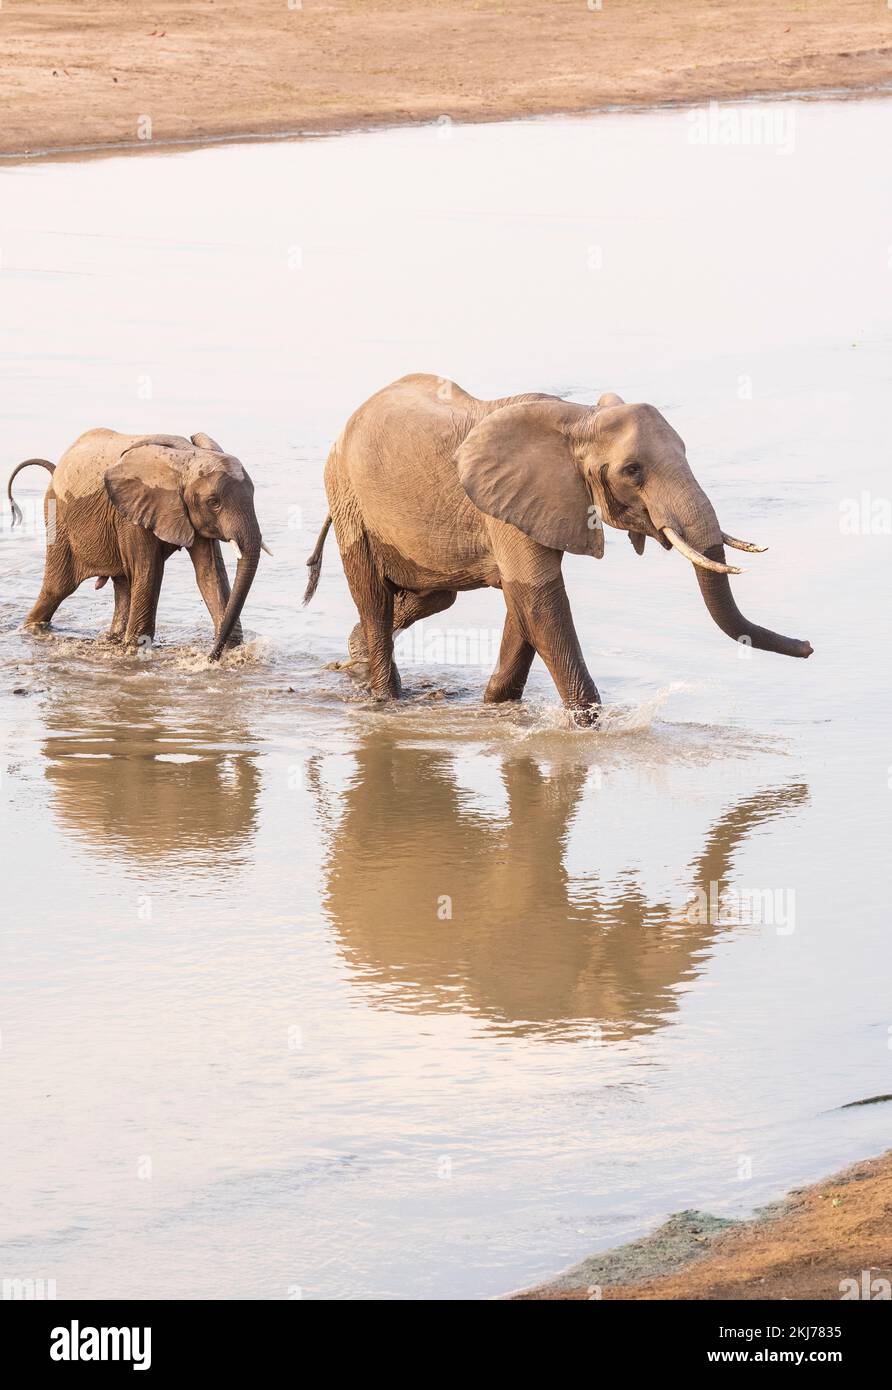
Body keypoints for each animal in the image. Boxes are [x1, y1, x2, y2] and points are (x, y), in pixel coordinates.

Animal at [7, 429, 269, 660]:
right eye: (214, 502)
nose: (210, 656)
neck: (185, 458)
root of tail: (57, 468)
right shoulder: (131, 513)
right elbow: (148, 571)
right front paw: (135, 649)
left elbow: (209, 574)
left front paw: (233, 651)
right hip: (59, 521)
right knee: (57, 588)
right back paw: (31, 629)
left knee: (122, 585)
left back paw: (113, 638)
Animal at [305, 374, 813, 720]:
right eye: (633, 471)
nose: (808, 647)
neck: (579, 418)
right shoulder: (503, 505)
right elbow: (541, 602)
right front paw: (589, 727)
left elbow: (523, 607)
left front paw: (497, 707)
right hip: (346, 495)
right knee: (372, 594)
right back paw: (386, 696)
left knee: (434, 595)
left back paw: (354, 654)